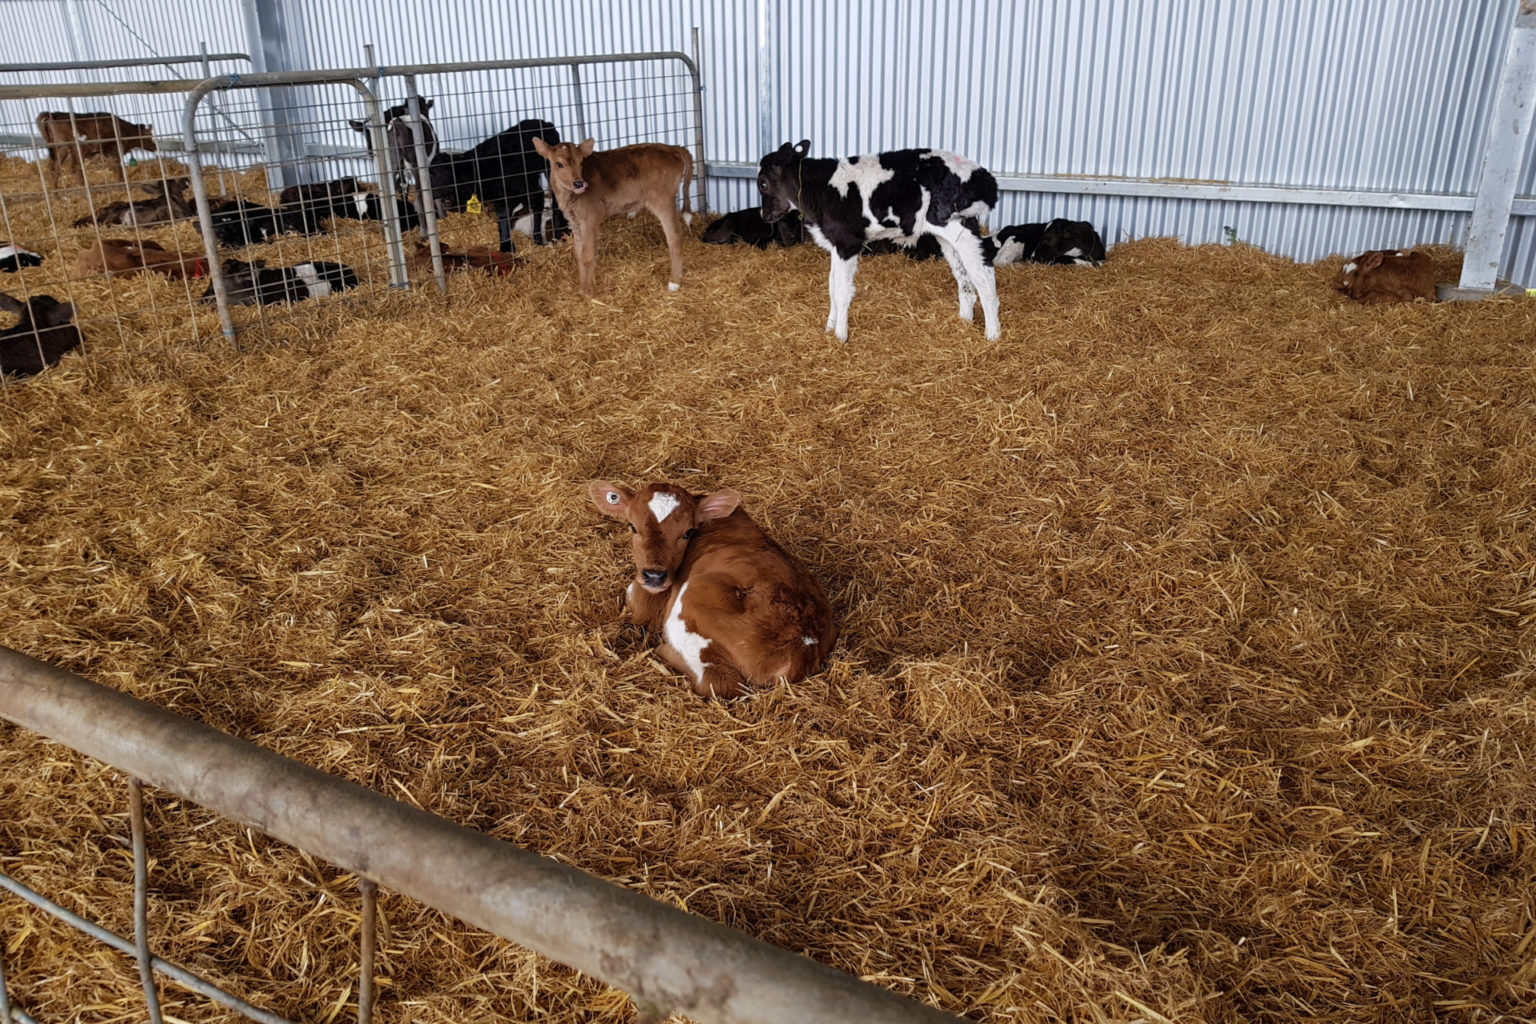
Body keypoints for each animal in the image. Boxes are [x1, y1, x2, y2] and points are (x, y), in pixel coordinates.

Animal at [428, 119, 567, 252]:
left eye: (433, 173)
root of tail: (545, 123)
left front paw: (508, 246)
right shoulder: (503, 195)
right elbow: (504, 216)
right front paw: (507, 243)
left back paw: (556, 232)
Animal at [533, 138, 694, 294]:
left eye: (580, 162)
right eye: (559, 164)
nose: (579, 183)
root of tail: (673, 148)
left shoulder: (590, 220)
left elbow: (587, 255)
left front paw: (590, 292)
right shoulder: (575, 222)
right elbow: (578, 254)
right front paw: (582, 289)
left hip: (663, 200)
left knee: (675, 237)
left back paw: (674, 283)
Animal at [588, 480, 837, 698]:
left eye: (687, 532)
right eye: (632, 526)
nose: (654, 576)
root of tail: (800, 645)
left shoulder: (646, 598)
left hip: (691, 601)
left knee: (718, 681)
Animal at [757, 140, 1001, 341]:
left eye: (763, 184)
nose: (764, 216)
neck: (821, 190)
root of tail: (983, 177)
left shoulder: (848, 243)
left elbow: (842, 291)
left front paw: (840, 336)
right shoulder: (836, 245)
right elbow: (832, 287)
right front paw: (829, 328)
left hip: (961, 229)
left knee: (984, 276)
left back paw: (993, 335)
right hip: (948, 237)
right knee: (964, 278)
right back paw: (964, 322)